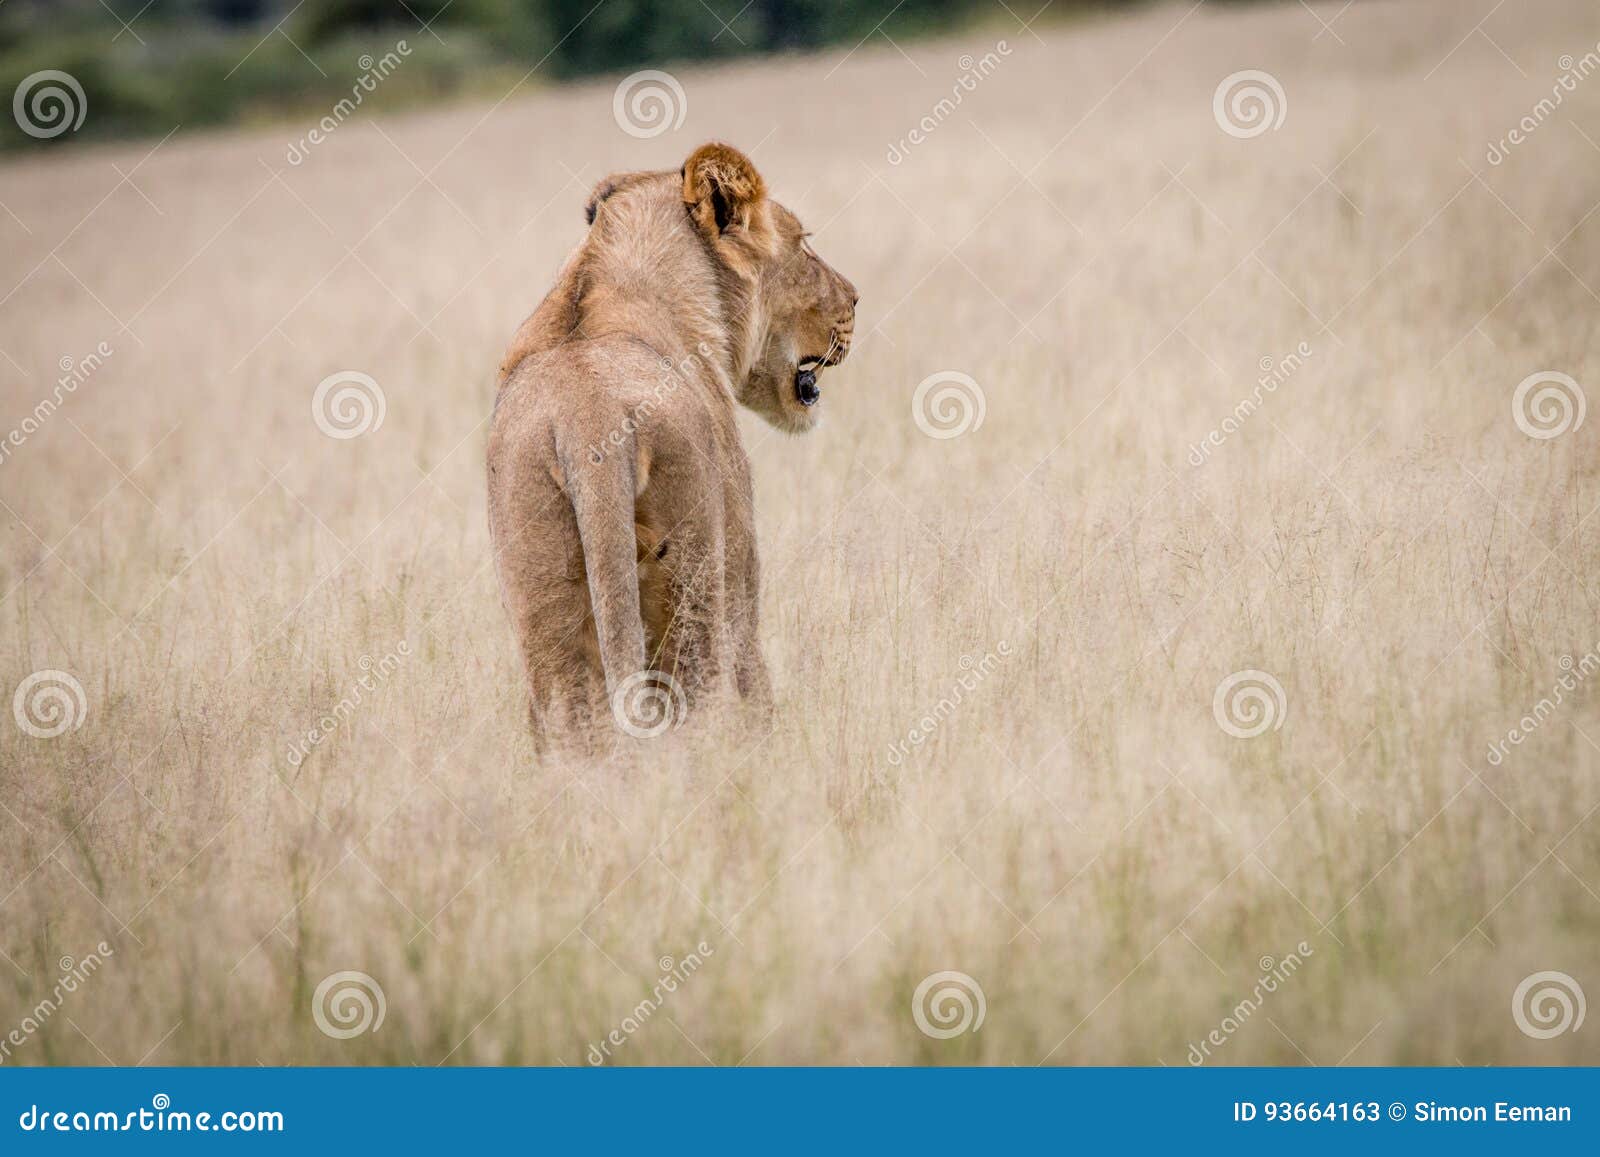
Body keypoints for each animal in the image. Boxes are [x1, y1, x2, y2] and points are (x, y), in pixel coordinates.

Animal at [487, 142, 858, 749]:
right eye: (803, 242)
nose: (855, 299)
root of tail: (587, 420)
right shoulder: (739, 556)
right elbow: (753, 679)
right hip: (693, 578)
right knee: (699, 697)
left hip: (541, 598)